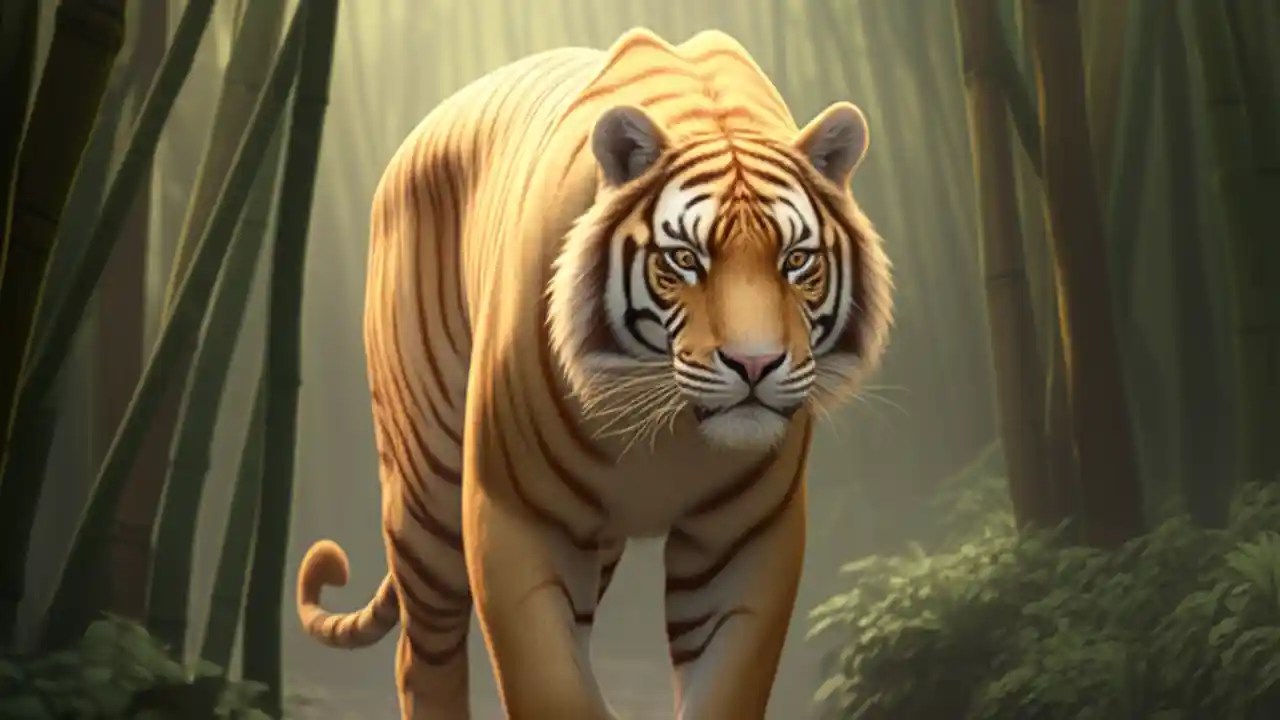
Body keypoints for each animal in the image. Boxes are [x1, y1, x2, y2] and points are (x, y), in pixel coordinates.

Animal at [295, 27, 892, 720]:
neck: (671, 430)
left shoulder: (746, 536)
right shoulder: (513, 516)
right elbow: (550, 685)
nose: (754, 363)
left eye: (796, 260)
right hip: (427, 486)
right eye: (684, 259)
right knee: (424, 653)